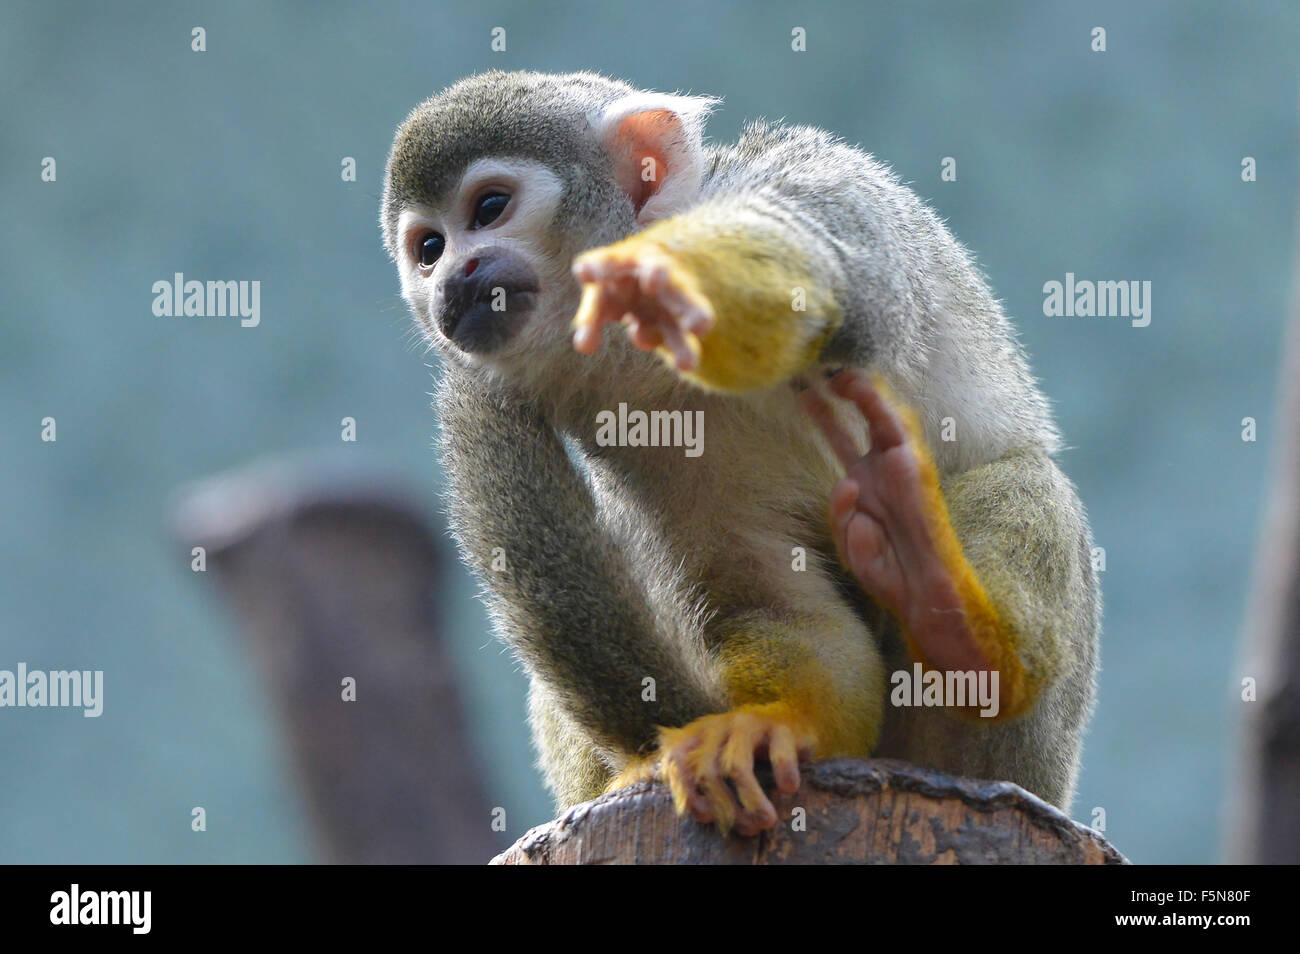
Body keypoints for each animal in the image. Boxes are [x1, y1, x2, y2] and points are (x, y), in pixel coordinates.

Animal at [382, 70, 1099, 835]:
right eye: (429, 248)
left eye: (490, 208)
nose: (451, 280)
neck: (643, 359)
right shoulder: (622, 418)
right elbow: (767, 594)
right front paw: (776, 721)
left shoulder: (795, 192)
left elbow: (822, 267)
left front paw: (664, 275)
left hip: (1020, 766)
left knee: (1027, 480)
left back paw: (958, 624)